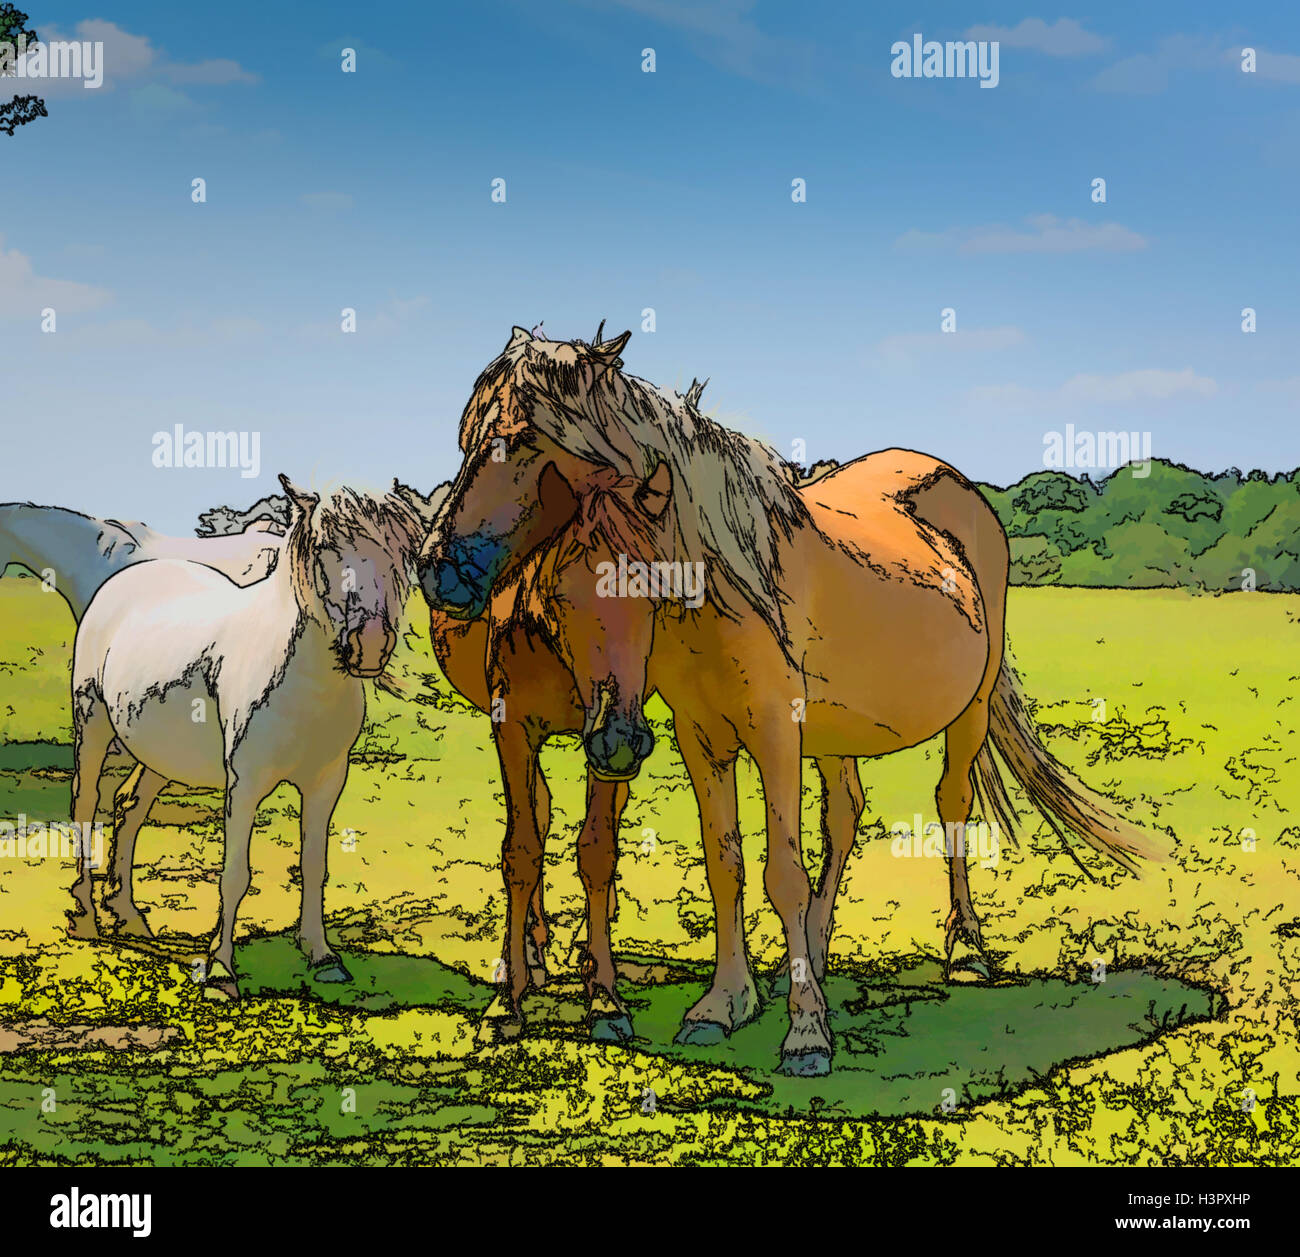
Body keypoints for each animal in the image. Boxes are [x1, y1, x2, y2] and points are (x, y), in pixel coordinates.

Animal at [68, 477, 422, 998]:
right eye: (326, 548)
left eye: (401, 551)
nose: (371, 645)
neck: (297, 673)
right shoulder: (246, 783)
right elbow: (235, 874)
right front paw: (220, 971)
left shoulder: (326, 781)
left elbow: (313, 866)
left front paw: (321, 955)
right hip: (92, 724)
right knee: (85, 805)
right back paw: (85, 913)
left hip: (160, 754)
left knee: (129, 808)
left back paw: (129, 915)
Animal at [418, 324, 1164, 1076]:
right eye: (468, 438)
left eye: (520, 439)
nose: (436, 565)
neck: (725, 590)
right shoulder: (700, 737)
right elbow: (726, 865)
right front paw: (726, 1001)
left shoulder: (775, 732)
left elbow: (782, 872)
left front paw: (806, 1033)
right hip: (836, 737)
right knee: (845, 816)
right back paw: (808, 959)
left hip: (970, 712)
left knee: (951, 805)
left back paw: (965, 950)